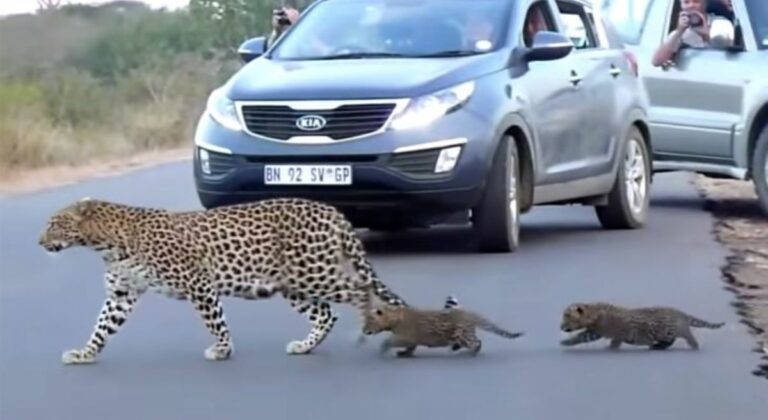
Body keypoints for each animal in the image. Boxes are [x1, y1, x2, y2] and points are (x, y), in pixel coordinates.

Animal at [38, 196, 409, 364]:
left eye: (55, 224)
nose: (39, 243)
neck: (106, 243)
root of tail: (331, 209)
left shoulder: (197, 283)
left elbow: (215, 321)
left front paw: (222, 349)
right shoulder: (121, 293)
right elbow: (102, 326)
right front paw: (85, 353)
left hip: (313, 272)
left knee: (359, 289)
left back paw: (363, 330)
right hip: (294, 284)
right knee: (325, 314)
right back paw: (306, 346)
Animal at [361, 291, 524, 357]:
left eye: (369, 321)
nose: (363, 330)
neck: (394, 318)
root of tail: (469, 313)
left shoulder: (406, 337)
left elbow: (391, 340)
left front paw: (383, 348)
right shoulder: (411, 340)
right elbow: (410, 348)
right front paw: (405, 353)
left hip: (461, 333)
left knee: (476, 343)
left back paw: (468, 352)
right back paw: (456, 348)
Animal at [559, 302, 725, 351]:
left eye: (567, 316)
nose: (561, 327)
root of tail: (684, 314)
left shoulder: (607, 332)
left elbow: (581, 337)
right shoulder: (594, 332)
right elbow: (581, 337)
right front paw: (565, 342)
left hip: (677, 330)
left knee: (688, 337)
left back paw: (694, 347)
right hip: (667, 333)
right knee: (669, 341)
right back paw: (656, 346)